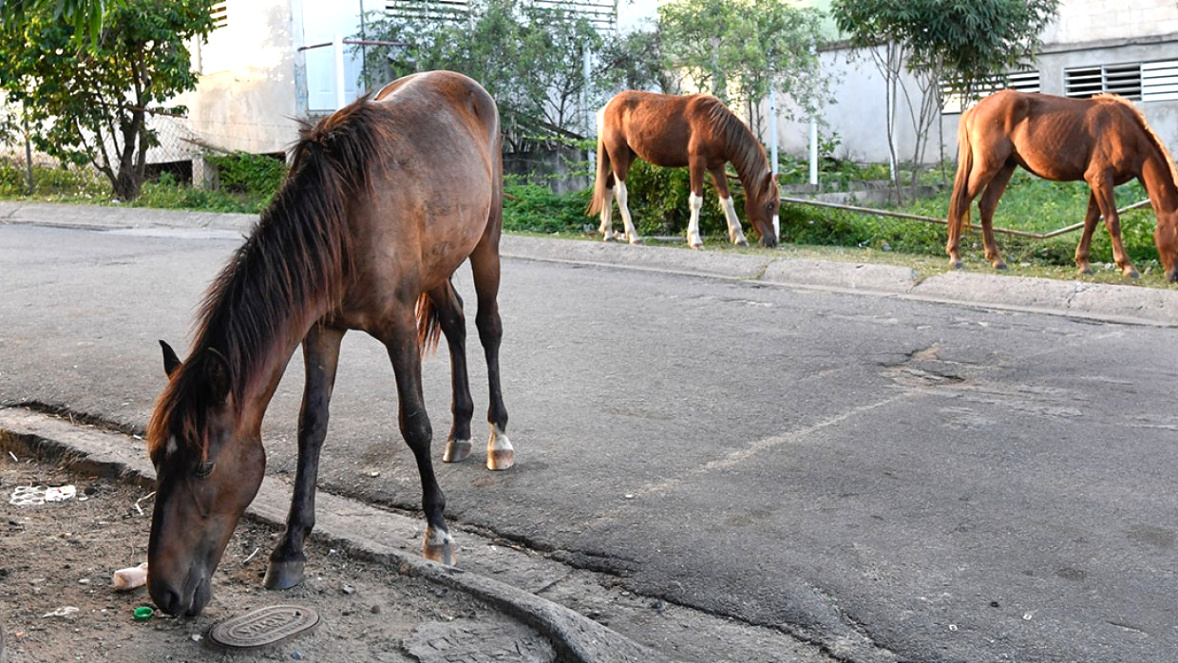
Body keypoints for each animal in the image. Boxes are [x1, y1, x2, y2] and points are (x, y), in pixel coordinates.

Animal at [142, 71, 511, 617]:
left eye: (204, 465)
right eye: (155, 458)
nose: (164, 594)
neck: (342, 217)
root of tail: (465, 84)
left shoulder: (398, 328)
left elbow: (414, 424)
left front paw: (438, 530)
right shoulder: (321, 331)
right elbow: (311, 426)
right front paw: (290, 549)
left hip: (487, 240)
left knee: (488, 326)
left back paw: (497, 437)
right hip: (440, 262)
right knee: (457, 320)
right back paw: (461, 431)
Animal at [589, 89, 782, 250]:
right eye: (770, 205)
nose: (773, 240)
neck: (718, 126)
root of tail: (607, 107)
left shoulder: (716, 166)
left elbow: (727, 200)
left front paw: (739, 237)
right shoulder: (697, 162)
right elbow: (696, 200)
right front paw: (695, 239)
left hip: (628, 156)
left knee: (608, 185)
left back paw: (608, 232)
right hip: (619, 156)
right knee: (621, 193)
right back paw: (633, 235)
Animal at [947, 88, 1178, 280]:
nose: (1175, 275)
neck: (1124, 131)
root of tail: (975, 109)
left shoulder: (1097, 183)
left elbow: (1091, 221)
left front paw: (1083, 263)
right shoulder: (1101, 179)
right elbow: (1112, 221)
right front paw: (1127, 267)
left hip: (1005, 167)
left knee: (986, 206)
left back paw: (997, 259)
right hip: (987, 167)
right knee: (962, 202)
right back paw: (955, 256)